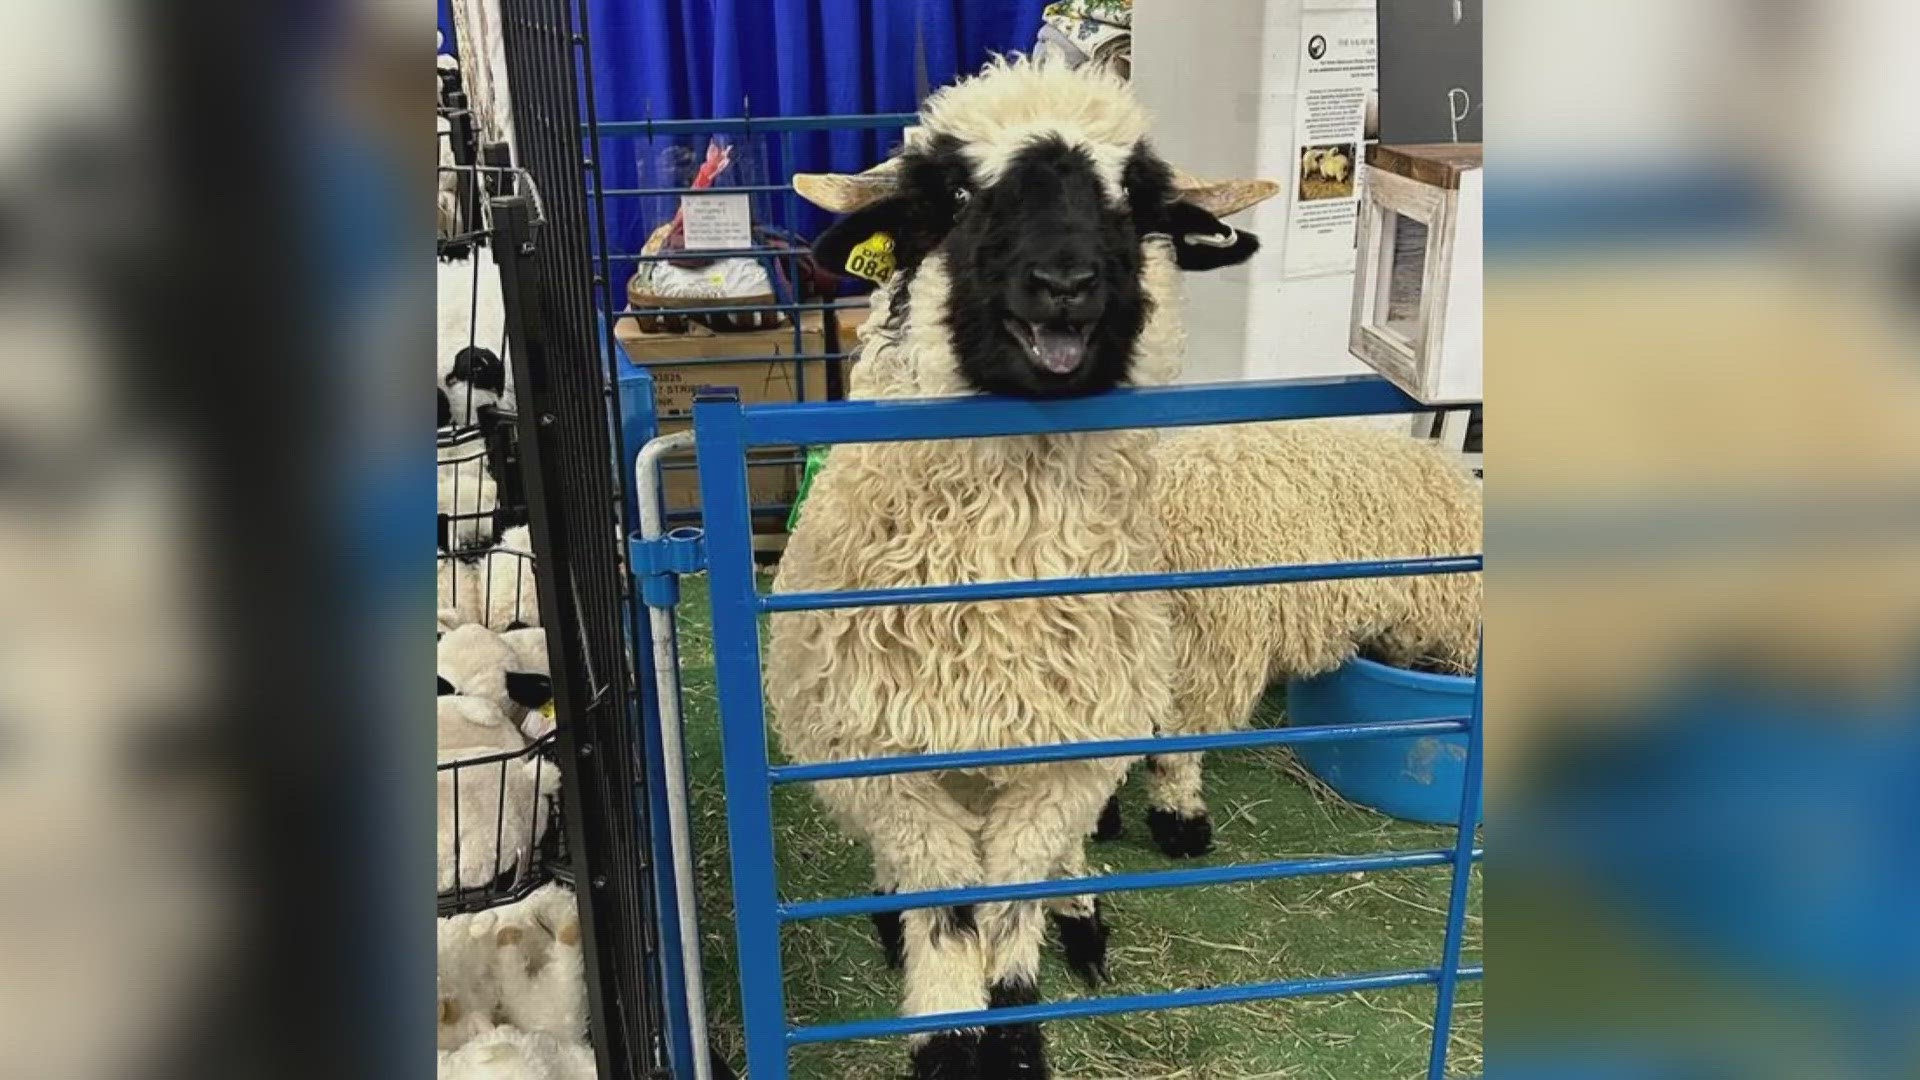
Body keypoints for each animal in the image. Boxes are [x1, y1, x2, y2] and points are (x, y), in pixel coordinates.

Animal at [773, 55, 1278, 1080]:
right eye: (961, 195)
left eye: (1130, 199)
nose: (1065, 282)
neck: (998, 607)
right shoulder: (880, 760)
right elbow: (946, 900)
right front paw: (947, 1028)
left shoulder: (1068, 754)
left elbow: (1012, 890)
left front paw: (1011, 1022)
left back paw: (1078, 908)